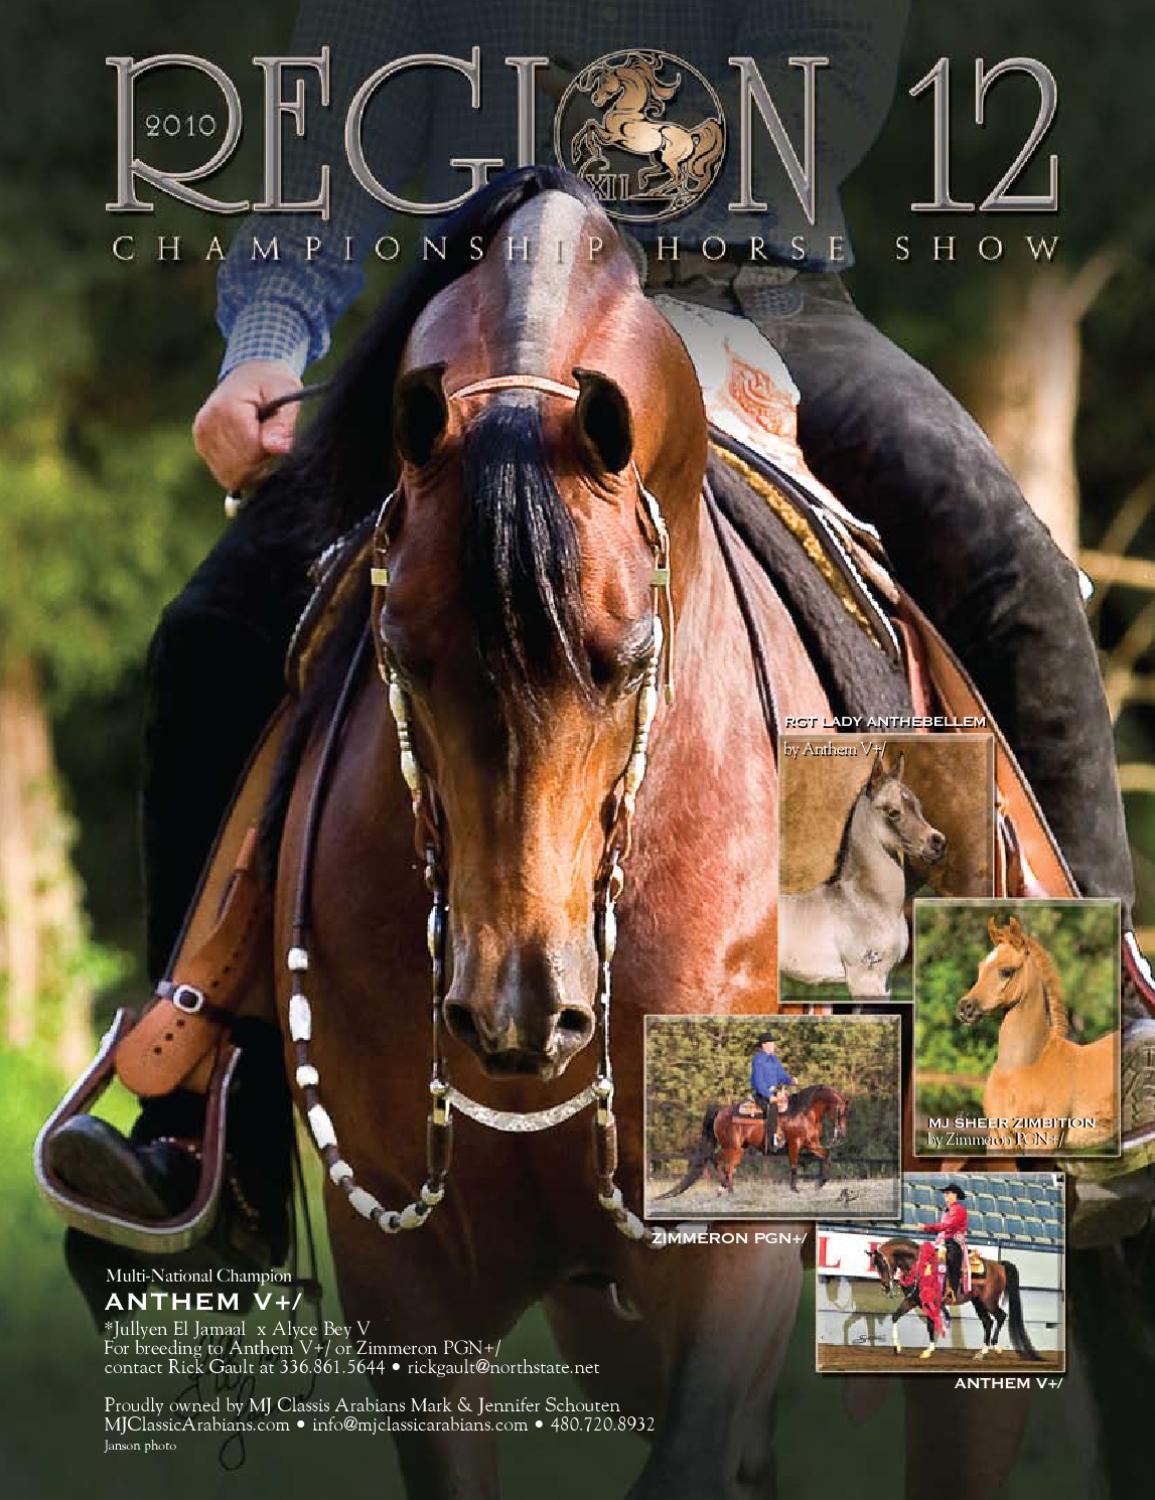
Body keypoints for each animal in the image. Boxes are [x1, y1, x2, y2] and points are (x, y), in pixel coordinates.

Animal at [569, 52, 724, 213]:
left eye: (605, 80)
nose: (595, 99)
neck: (626, 111)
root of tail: (690, 135)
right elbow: (589, 125)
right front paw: (580, 152)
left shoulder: (612, 138)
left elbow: (591, 126)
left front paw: (588, 151)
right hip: (658, 156)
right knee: (664, 172)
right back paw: (647, 185)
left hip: (670, 159)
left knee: (678, 177)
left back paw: (656, 193)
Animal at [657, 1085, 849, 1198]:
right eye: (840, 1111)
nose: (841, 1132)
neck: (803, 1112)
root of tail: (721, 1110)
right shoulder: (795, 1144)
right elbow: (794, 1165)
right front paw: (795, 1189)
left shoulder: (811, 1144)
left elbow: (826, 1155)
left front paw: (820, 1183)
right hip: (731, 1147)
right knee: (717, 1160)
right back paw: (724, 1187)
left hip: (739, 1150)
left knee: (728, 1167)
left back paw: (730, 1190)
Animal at [779, 750, 946, 996]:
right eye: (893, 812)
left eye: (918, 807)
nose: (938, 843)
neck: (866, 904)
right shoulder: (864, 978)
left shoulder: (886, 980)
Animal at [870, 1237, 1040, 1362]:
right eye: (875, 1265)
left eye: (882, 1263)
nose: (885, 1287)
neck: (922, 1267)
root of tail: (999, 1265)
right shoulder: (912, 1300)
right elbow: (895, 1316)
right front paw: (896, 1348)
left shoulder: (931, 1302)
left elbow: (930, 1325)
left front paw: (928, 1350)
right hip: (978, 1302)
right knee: (988, 1322)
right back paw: (982, 1352)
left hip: (989, 1301)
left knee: (1001, 1316)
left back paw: (995, 1347)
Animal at [957, 915, 1118, 1152]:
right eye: (980, 968)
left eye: (1006, 971)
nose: (965, 1007)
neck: (1017, 1071)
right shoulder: (998, 1137)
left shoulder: (1042, 1138)